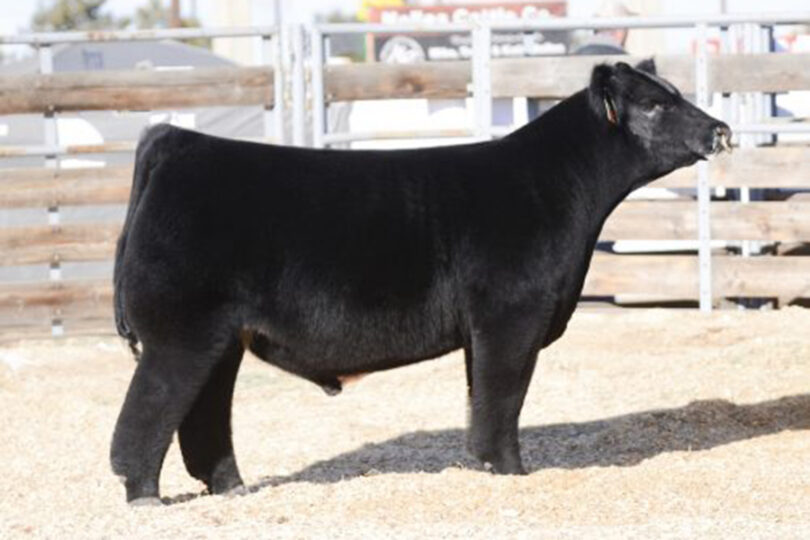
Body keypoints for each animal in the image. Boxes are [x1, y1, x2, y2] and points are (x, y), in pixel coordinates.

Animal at [111, 60, 731, 504]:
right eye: (654, 104)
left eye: (674, 91)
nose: (720, 130)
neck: (558, 188)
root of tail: (177, 140)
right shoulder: (512, 316)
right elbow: (503, 402)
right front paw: (512, 472)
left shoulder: (486, 328)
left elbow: (483, 400)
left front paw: (485, 465)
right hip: (180, 335)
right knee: (145, 419)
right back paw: (146, 499)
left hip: (220, 340)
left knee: (202, 421)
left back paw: (232, 490)